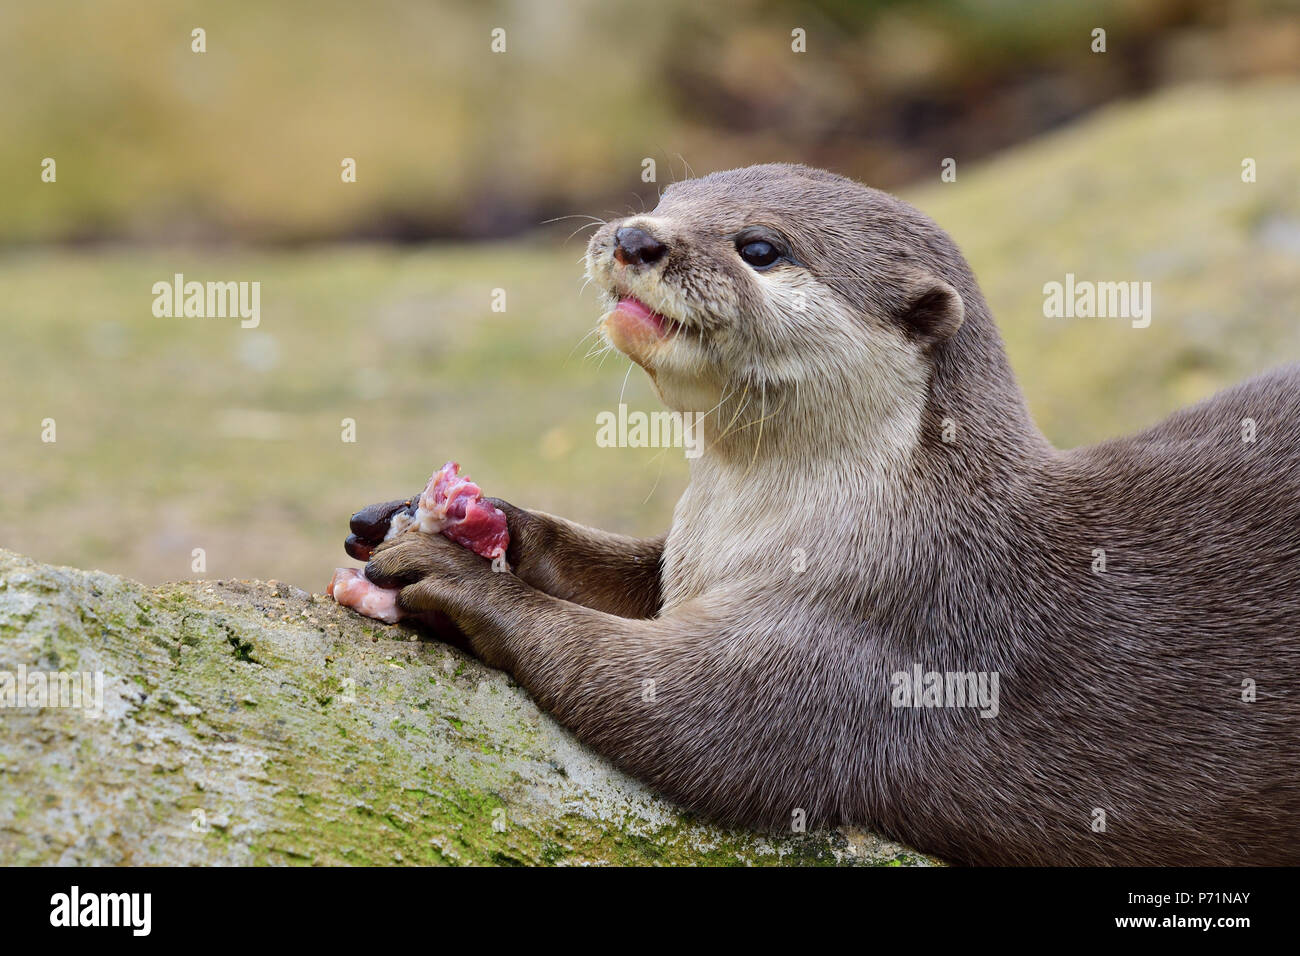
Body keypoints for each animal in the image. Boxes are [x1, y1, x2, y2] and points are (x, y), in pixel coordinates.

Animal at [346, 164, 1300, 866]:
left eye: (760, 247)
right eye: (668, 196)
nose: (635, 237)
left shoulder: (887, 629)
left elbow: (681, 714)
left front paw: (455, 573)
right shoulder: (687, 563)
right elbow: (614, 565)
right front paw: (458, 516)